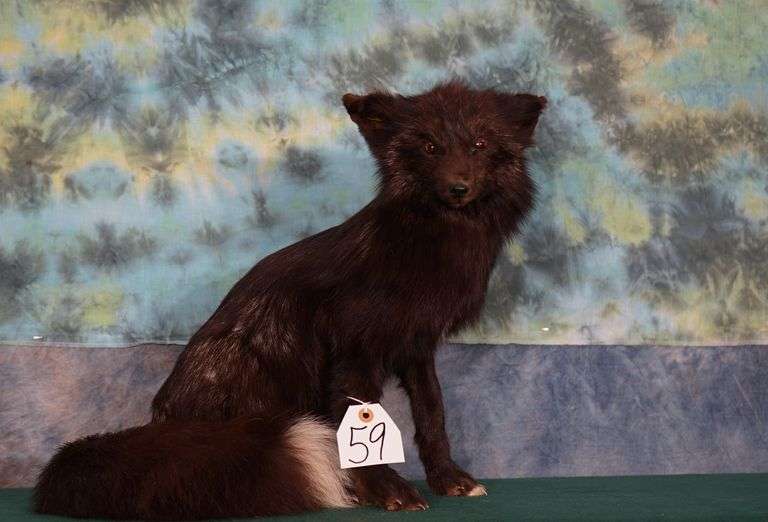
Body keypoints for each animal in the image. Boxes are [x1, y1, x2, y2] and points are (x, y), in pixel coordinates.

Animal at [34, 80, 546, 519]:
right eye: (431, 147)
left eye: (479, 145)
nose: (459, 187)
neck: (431, 246)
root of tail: (162, 424)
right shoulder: (354, 352)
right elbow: (362, 429)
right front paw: (385, 490)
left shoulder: (417, 346)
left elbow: (433, 415)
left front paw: (448, 479)